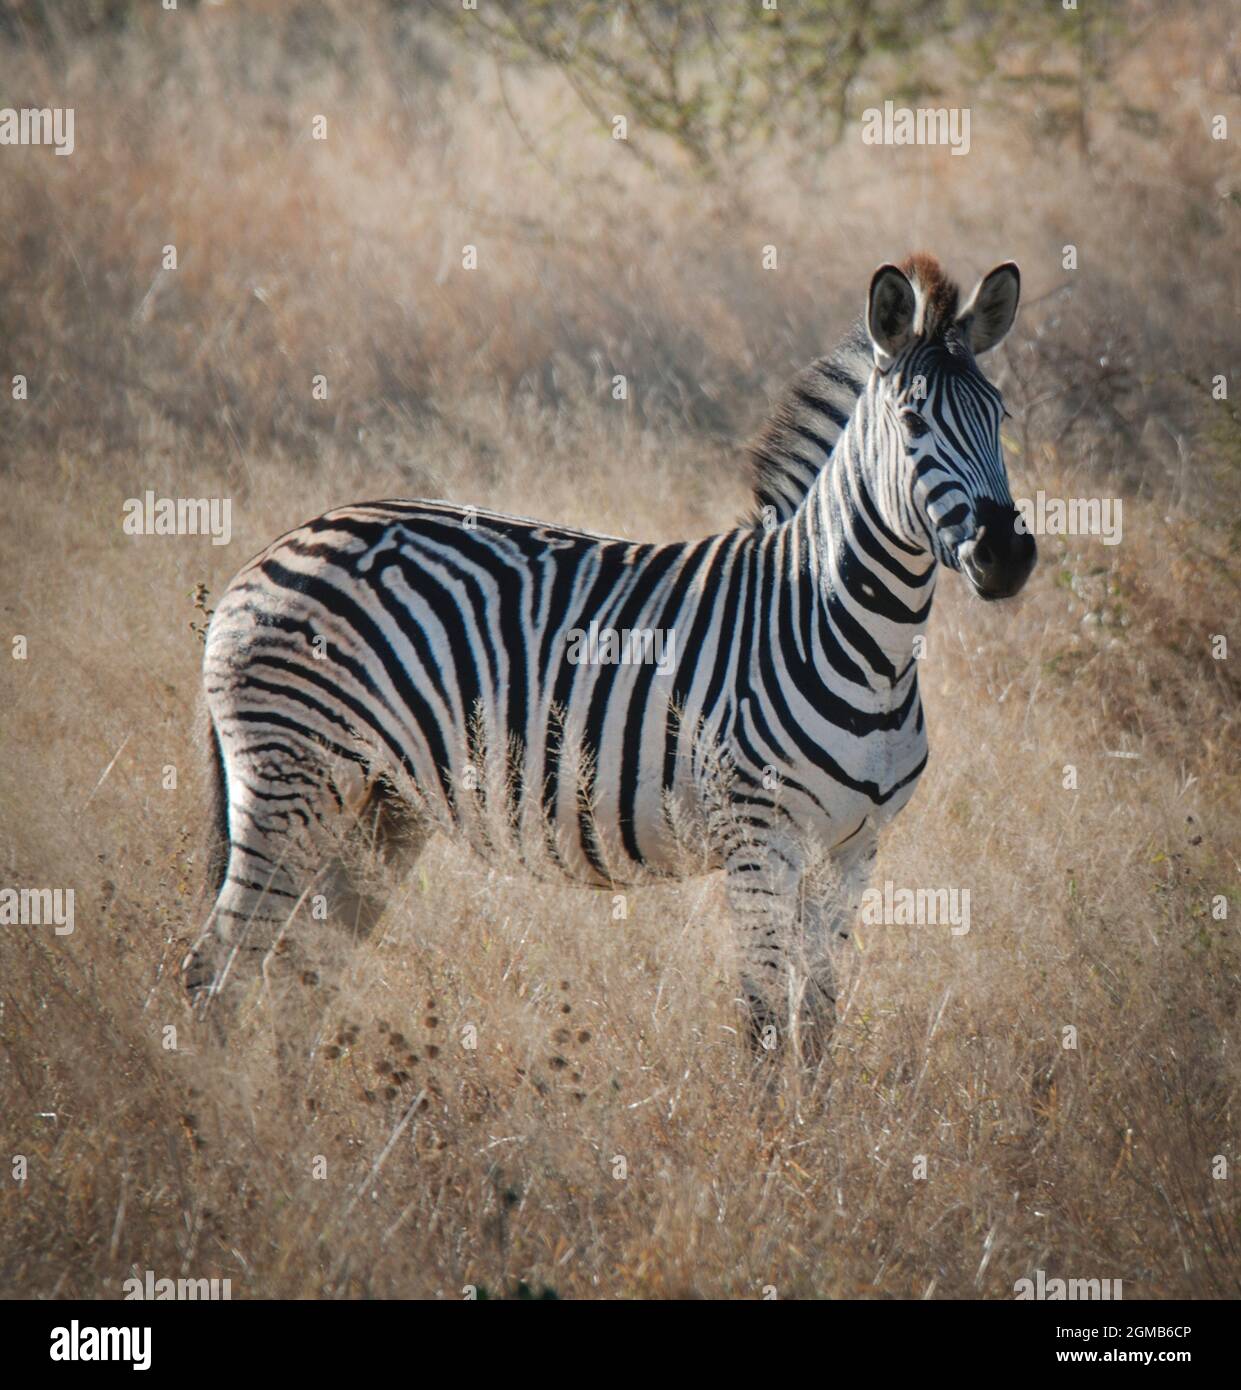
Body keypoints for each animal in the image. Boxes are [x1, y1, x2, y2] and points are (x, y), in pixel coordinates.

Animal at [184, 253, 1035, 1058]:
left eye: (999, 416)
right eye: (913, 420)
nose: (1007, 556)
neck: (854, 640)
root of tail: (277, 547)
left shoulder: (854, 851)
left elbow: (818, 1025)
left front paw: (818, 1121)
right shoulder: (759, 842)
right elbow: (763, 1026)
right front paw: (763, 1122)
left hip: (381, 803)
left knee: (301, 973)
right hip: (292, 777)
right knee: (215, 973)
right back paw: (223, 1108)